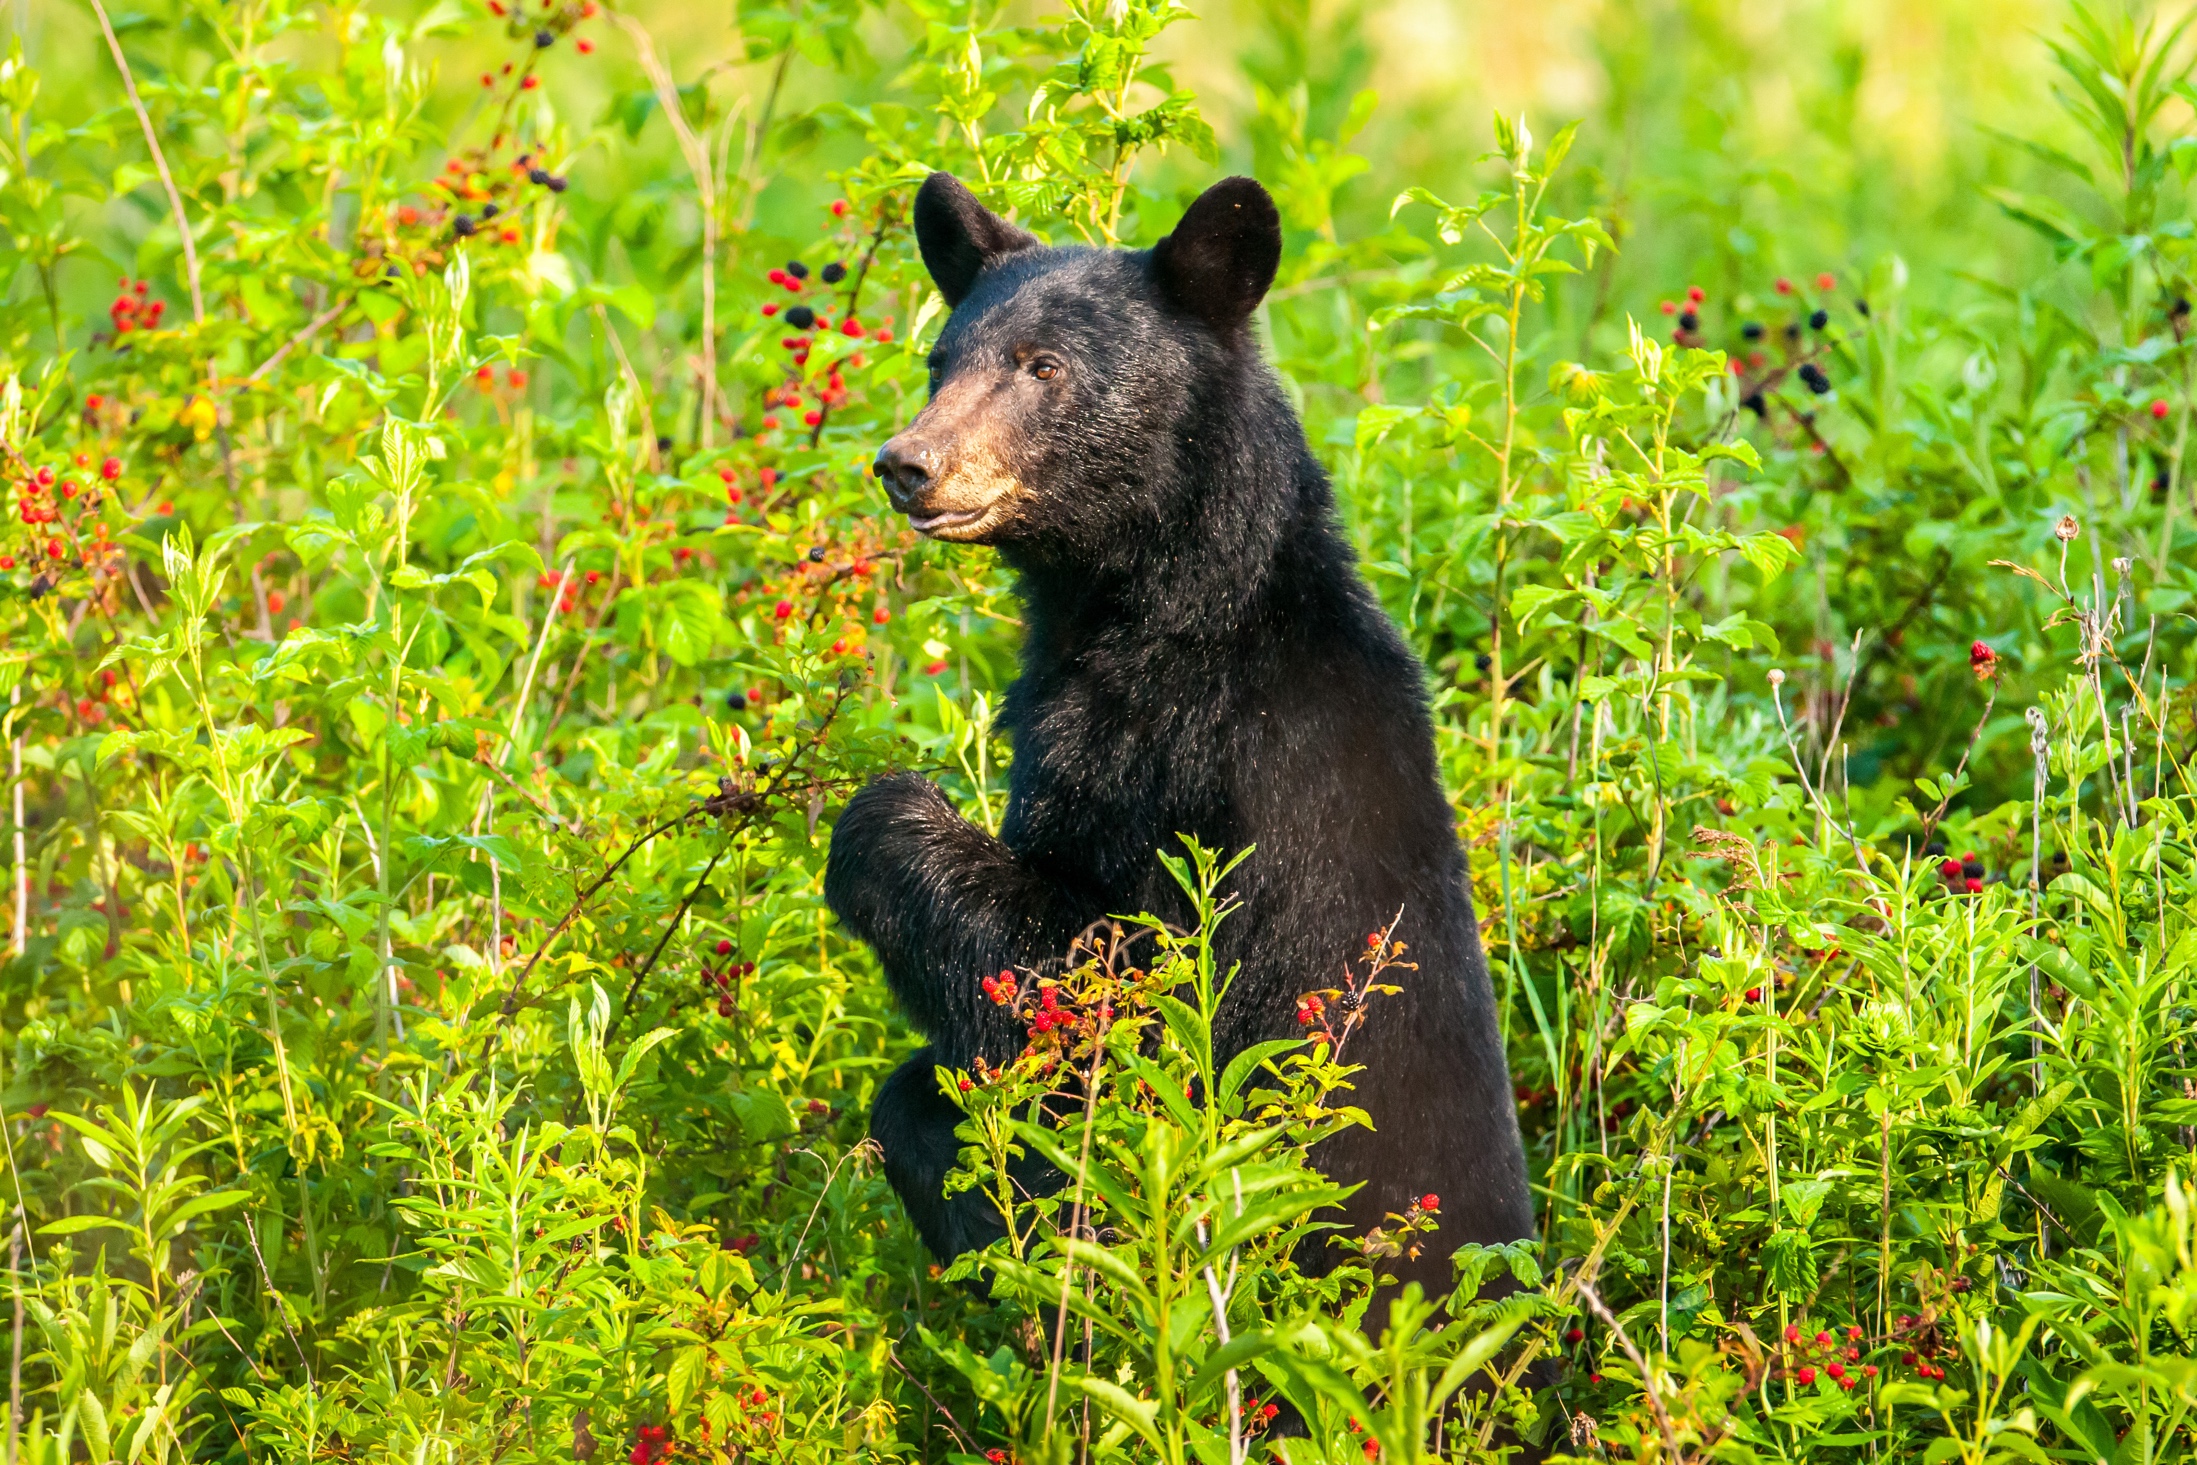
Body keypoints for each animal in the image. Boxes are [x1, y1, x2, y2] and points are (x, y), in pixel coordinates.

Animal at [823, 171, 1534, 1294]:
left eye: (1044, 367)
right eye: (941, 361)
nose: (907, 463)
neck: (1168, 617)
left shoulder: (1231, 790)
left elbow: (1121, 980)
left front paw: (892, 811)